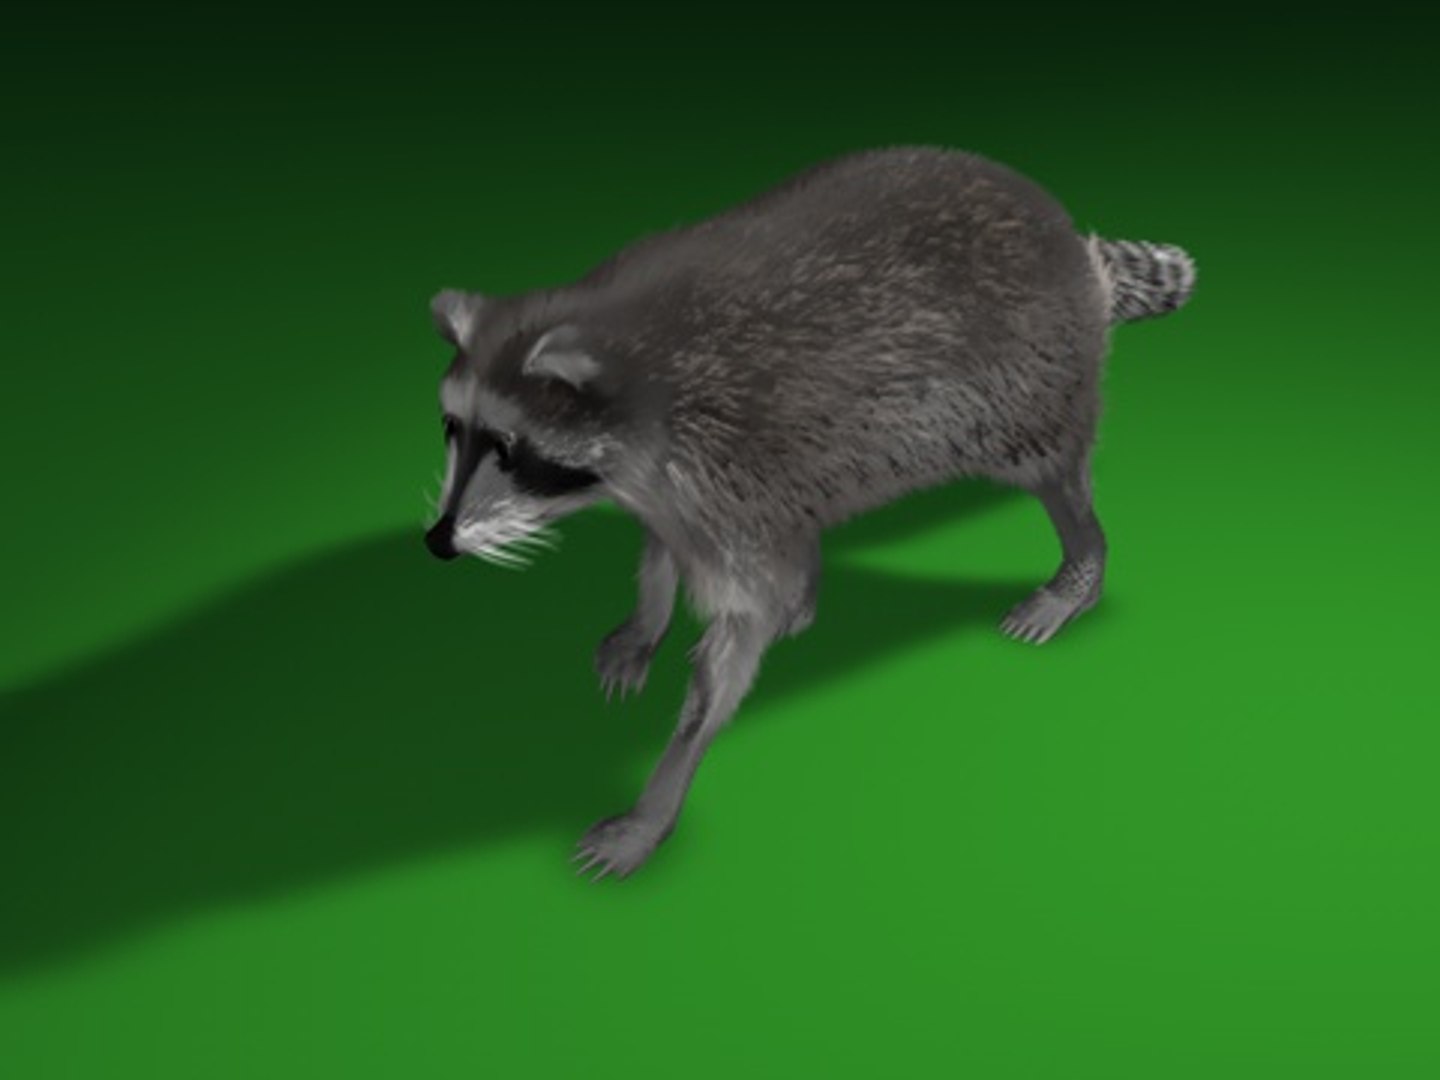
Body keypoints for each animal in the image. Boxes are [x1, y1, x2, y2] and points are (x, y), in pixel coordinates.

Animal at [424, 145, 1196, 880]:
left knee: (1052, 474)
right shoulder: (680, 485)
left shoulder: (723, 467)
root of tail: (1071, 240)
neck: (623, 355)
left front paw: (657, 801)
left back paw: (1080, 562)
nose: (435, 541)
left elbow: (728, 652)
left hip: (1027, 382)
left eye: (509, 449)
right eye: (453, 430)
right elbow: (663, 549)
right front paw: (648, 620)